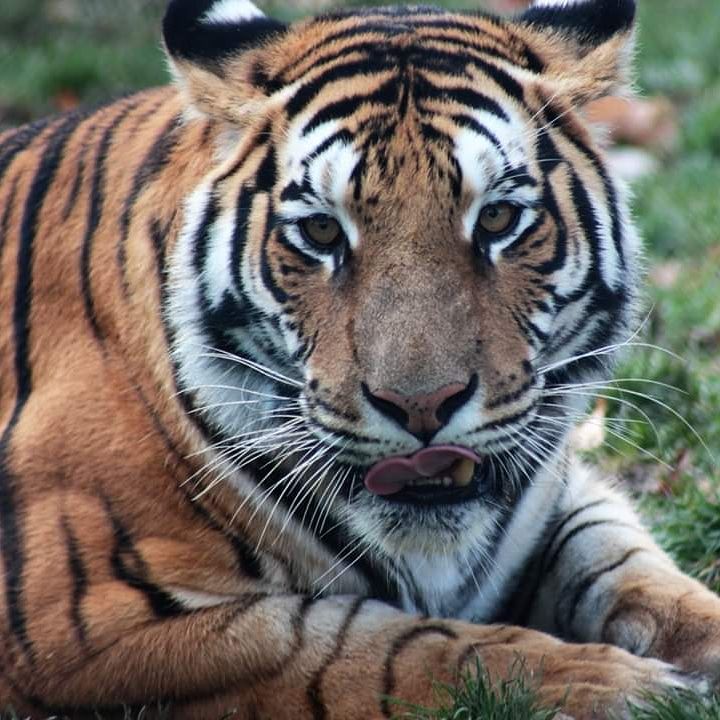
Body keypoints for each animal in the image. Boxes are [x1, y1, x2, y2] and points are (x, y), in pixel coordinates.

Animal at [0, 0, 719, 717]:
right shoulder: (82, 624)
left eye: (496, 220)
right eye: (322, 231)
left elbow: (631, 568)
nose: (422, 406)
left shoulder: (563, 498)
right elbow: (381, 647)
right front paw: (627, 687)